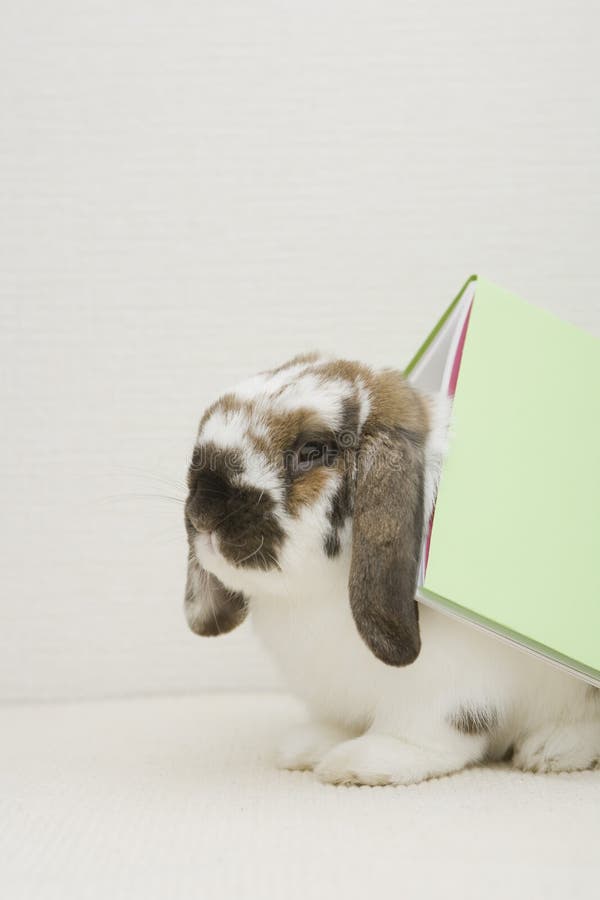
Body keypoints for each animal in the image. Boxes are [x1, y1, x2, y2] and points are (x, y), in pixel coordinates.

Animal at [183, 352, 600, 785]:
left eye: (313, 450)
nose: (203, 504)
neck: (308, 600)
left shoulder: (444, 692)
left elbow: (430, 734)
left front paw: (363, 761)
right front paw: (307, 746)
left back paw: (552, 750)